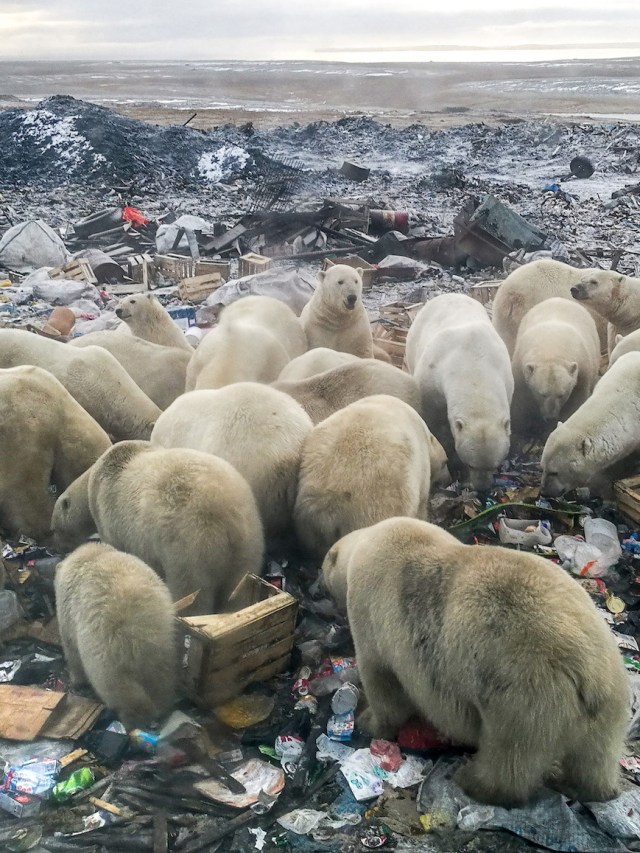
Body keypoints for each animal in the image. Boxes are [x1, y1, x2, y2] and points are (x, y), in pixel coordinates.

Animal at [52, 441, 264, 615]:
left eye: (54, 530)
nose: (57, 549)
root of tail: (228, 515)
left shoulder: (109, 518)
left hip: (189, 545)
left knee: (192, 590)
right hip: (249, 541)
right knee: (238, 588)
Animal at [54, 542, 176, 730]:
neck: (92, 555)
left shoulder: (68, 613)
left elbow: (71, 649)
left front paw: (76, 680)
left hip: (106, 655)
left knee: (122, 693)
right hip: (163, 644)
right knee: (161, 681)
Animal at [294, 395, 450, 561]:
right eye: (445, 463)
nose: (449, 479)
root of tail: (328, 504)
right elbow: (421, 505)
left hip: (310, 522)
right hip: (373, 507)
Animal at [322, 517, 629, 806]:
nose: (316, 585)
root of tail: (587, 672)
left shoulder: (372, 612)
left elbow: (383, 681)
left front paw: (367, 720)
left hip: (525, 696)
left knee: (510, 754)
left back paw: (474, 781)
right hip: (608, 700)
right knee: (596, 755)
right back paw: (592, 788)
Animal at [511, 298, 601, 435]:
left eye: (561, 395)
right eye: (542, 394)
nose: (550, 417)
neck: (551, 349)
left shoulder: (582, 373)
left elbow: (575, 403)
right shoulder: (520, 368)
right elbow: (520, 403)